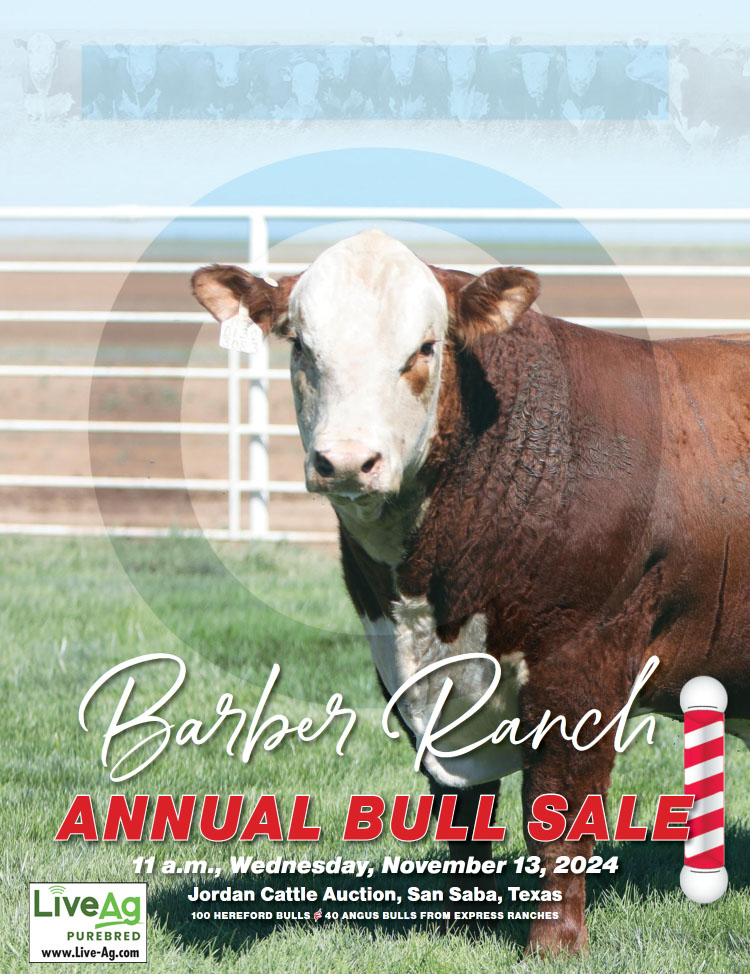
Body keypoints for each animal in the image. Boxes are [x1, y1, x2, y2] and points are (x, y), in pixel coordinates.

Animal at [191, 229, 750, 955]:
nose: (346, 462)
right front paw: (459, 924)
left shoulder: (582, 666)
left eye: (425, 349)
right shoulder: (412, 676)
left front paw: (555, 944)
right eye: (302, 348)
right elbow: (462, 815)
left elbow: (560, 807)